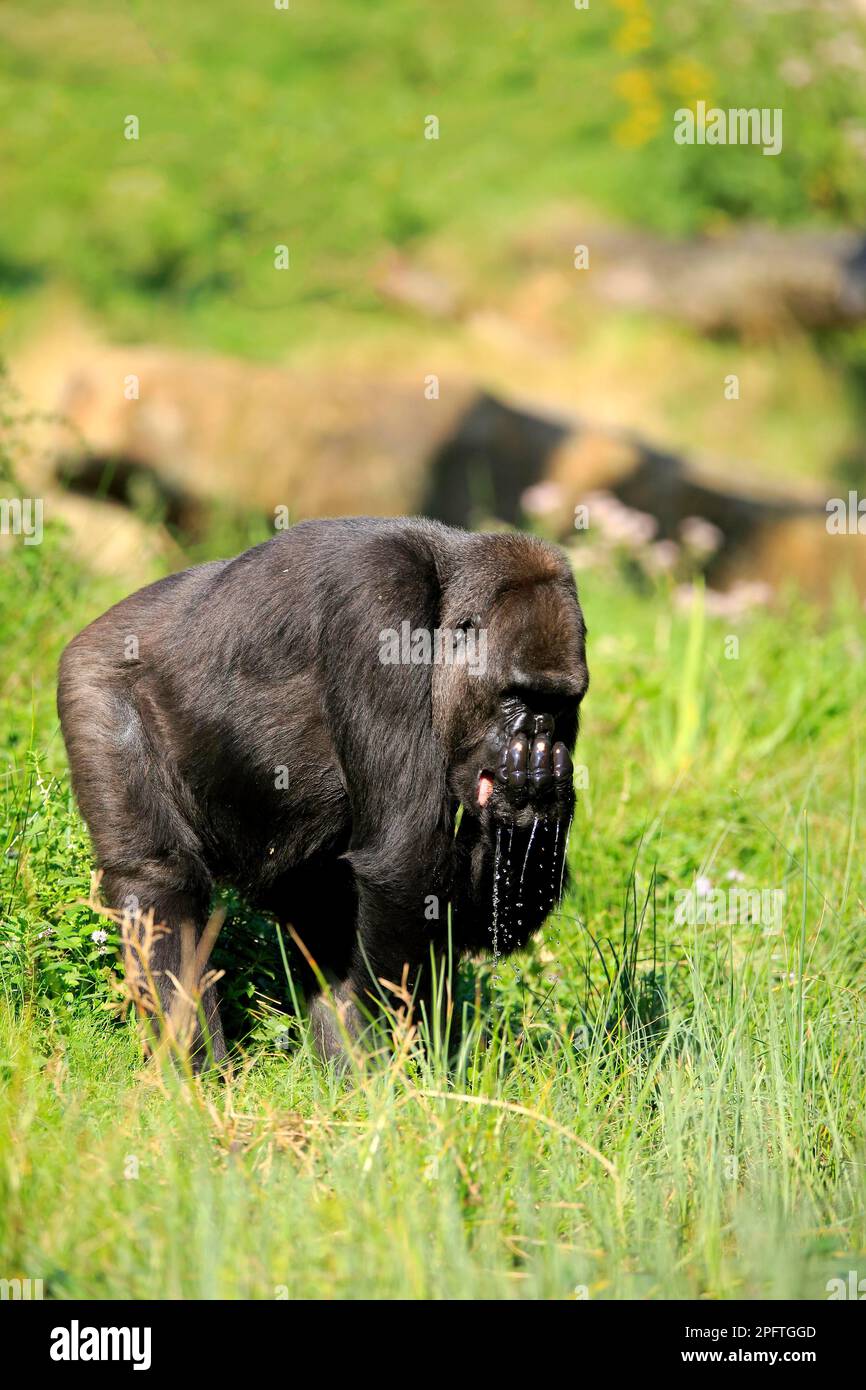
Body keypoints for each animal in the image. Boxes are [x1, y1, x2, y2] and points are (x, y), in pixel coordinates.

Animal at [57, 516, 588, 1064]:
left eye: (558, 703)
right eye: (516, 696)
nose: (537, 732)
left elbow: (465, 913)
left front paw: (530, 808)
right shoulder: (378, 602)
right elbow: (407, 862)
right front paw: (403, 1051)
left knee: (321, 909)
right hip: (95, 681)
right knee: (158, 881)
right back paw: (193, 1067)